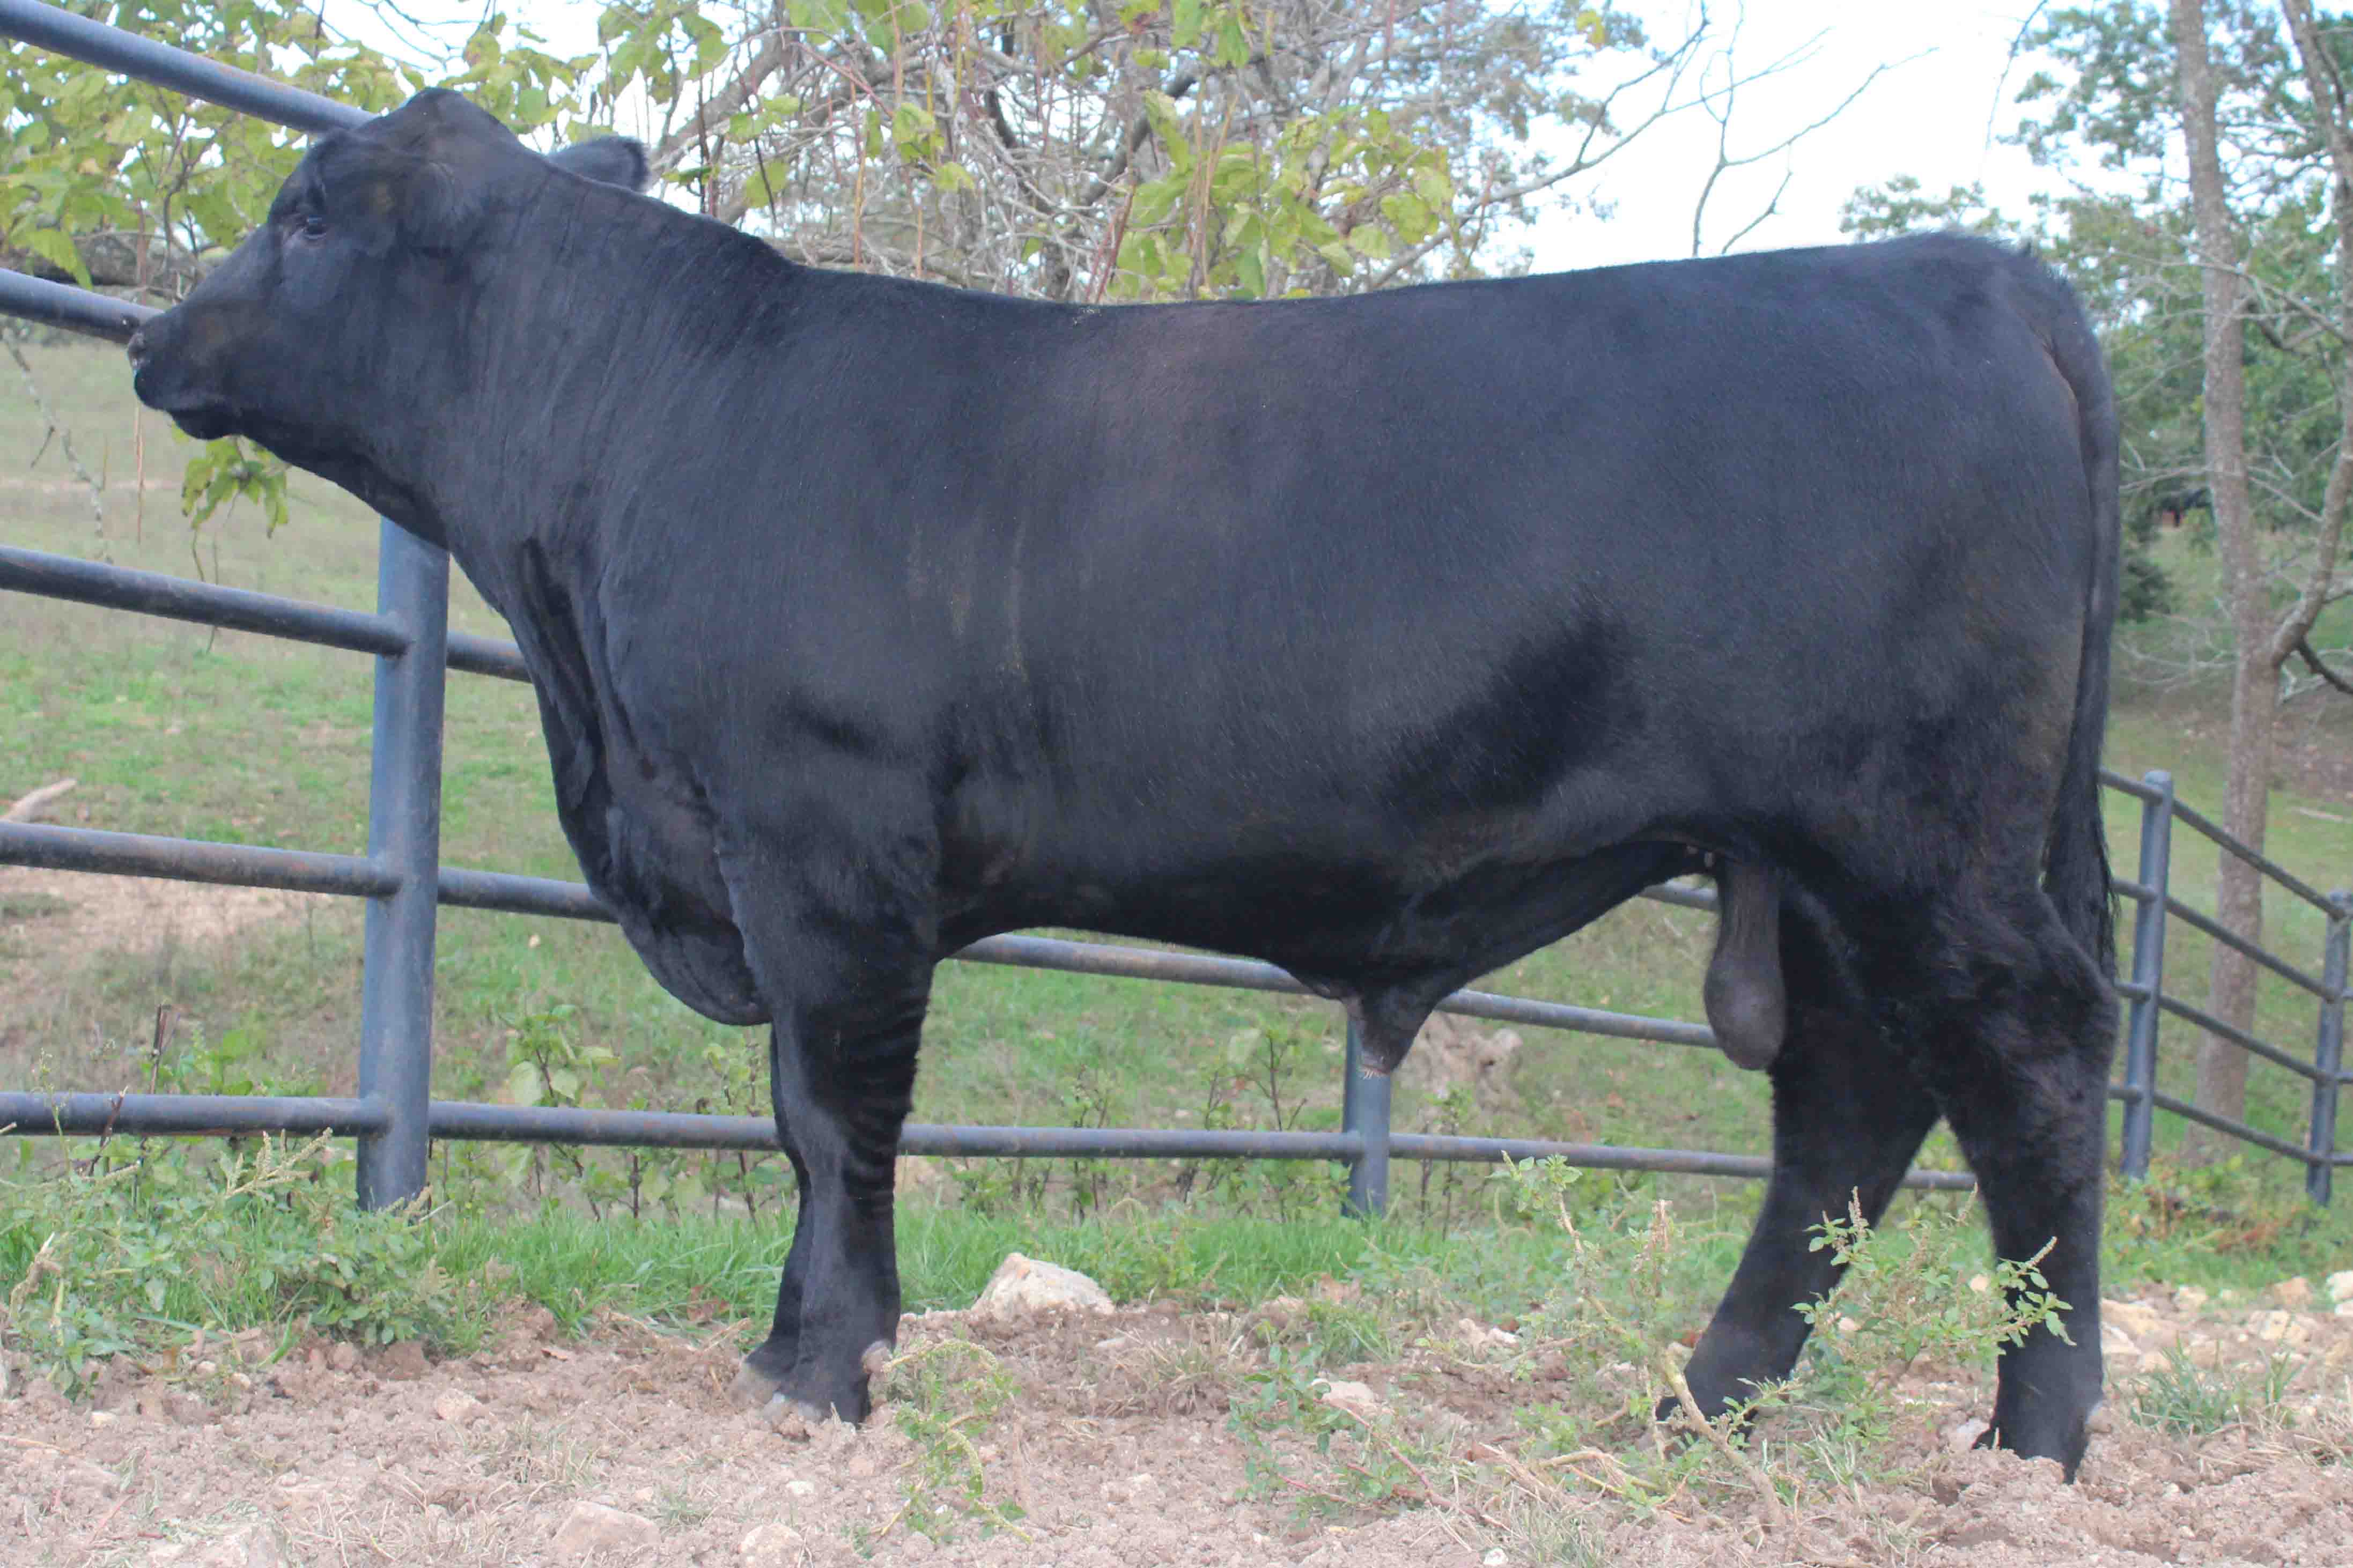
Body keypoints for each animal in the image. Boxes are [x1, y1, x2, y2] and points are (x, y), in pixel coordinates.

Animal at [127, 89, 2120, 1474]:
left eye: (305, 213)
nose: (149, 337)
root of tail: (1974, 267)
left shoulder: (821, 839)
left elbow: (830, 1114)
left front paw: (823, 1370)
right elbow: (808, 1117)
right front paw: (794, 1352)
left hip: (1911, 832)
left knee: (2019, 1069)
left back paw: (2027, 1434)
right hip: (1815, 865)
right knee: (1847, 1111)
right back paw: (1695, 1406)